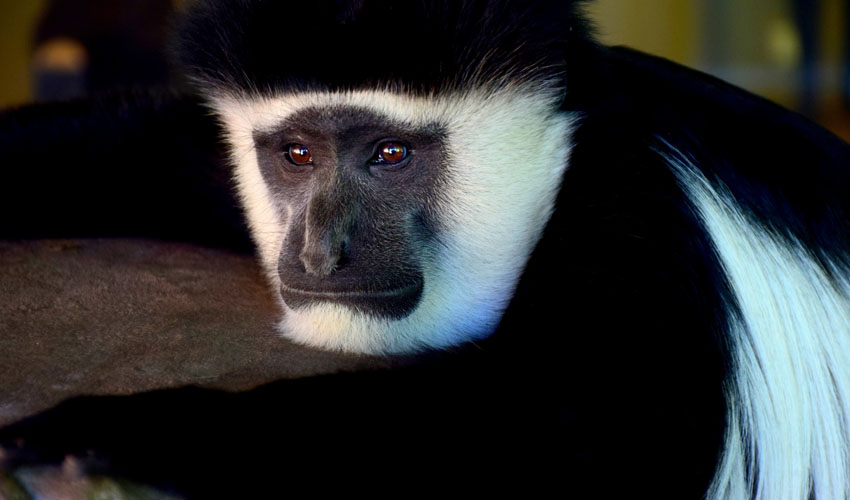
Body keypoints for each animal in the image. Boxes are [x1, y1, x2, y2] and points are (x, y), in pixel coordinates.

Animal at [2, 1, 850, 498]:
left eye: (391, 155)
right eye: (298, 155)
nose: (320, 256)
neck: (569, 148)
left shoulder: (643, 220)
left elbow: (581, 445)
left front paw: (98, 431)